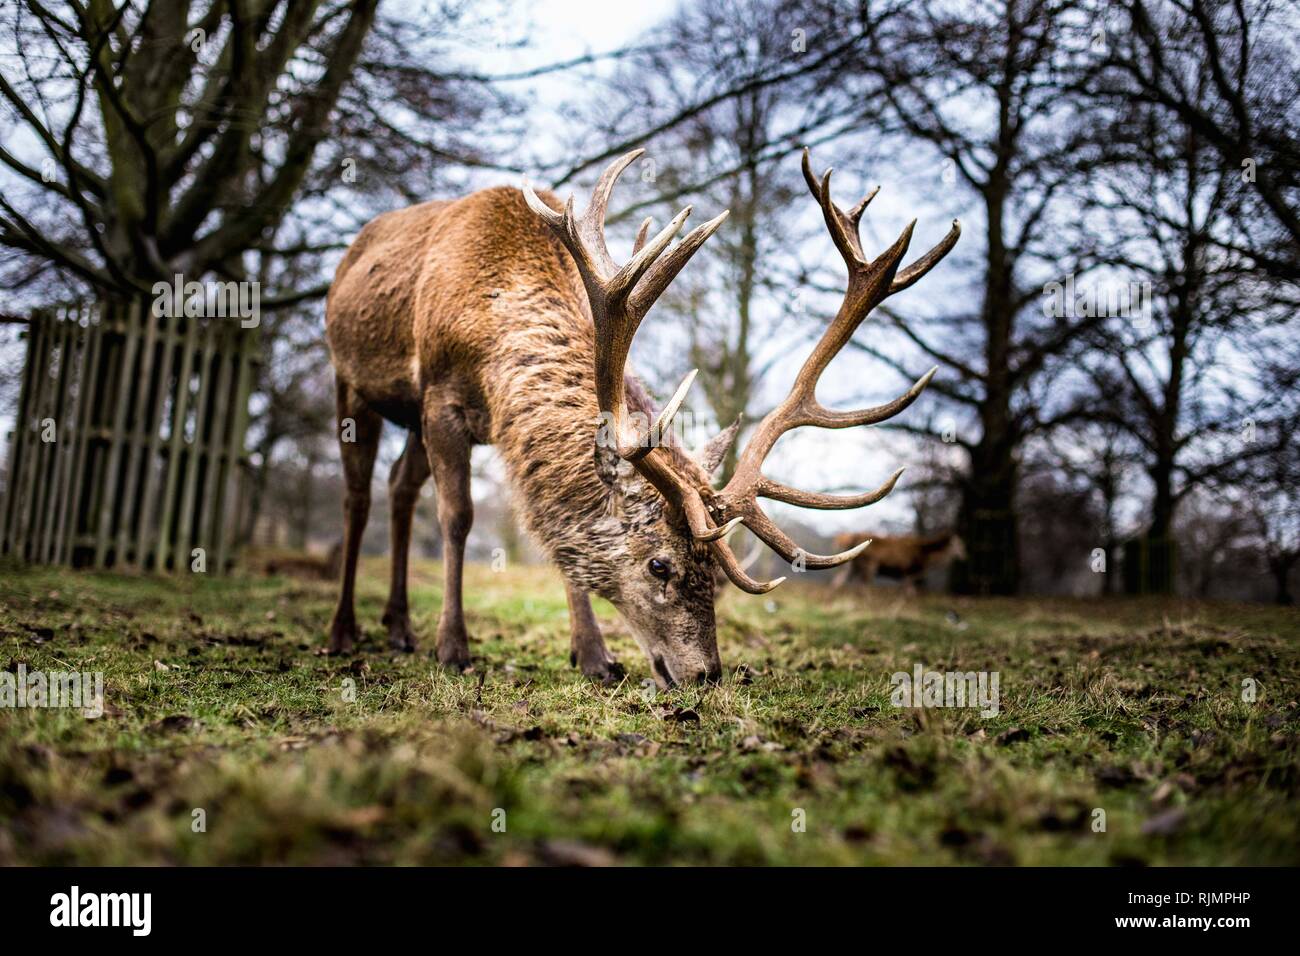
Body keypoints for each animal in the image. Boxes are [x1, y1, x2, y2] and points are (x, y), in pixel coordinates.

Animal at [322, 148, 959, 687]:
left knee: (399, 486)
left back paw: (398, 628)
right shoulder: (440, 399)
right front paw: (454, 648)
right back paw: (344, 630)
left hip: (404, 417)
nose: (707, 675)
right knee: (357, 497)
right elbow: (457, 517)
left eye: (717, 574)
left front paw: (593, 656)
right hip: (351, 381)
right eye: (659, 566)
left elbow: (558, 531)